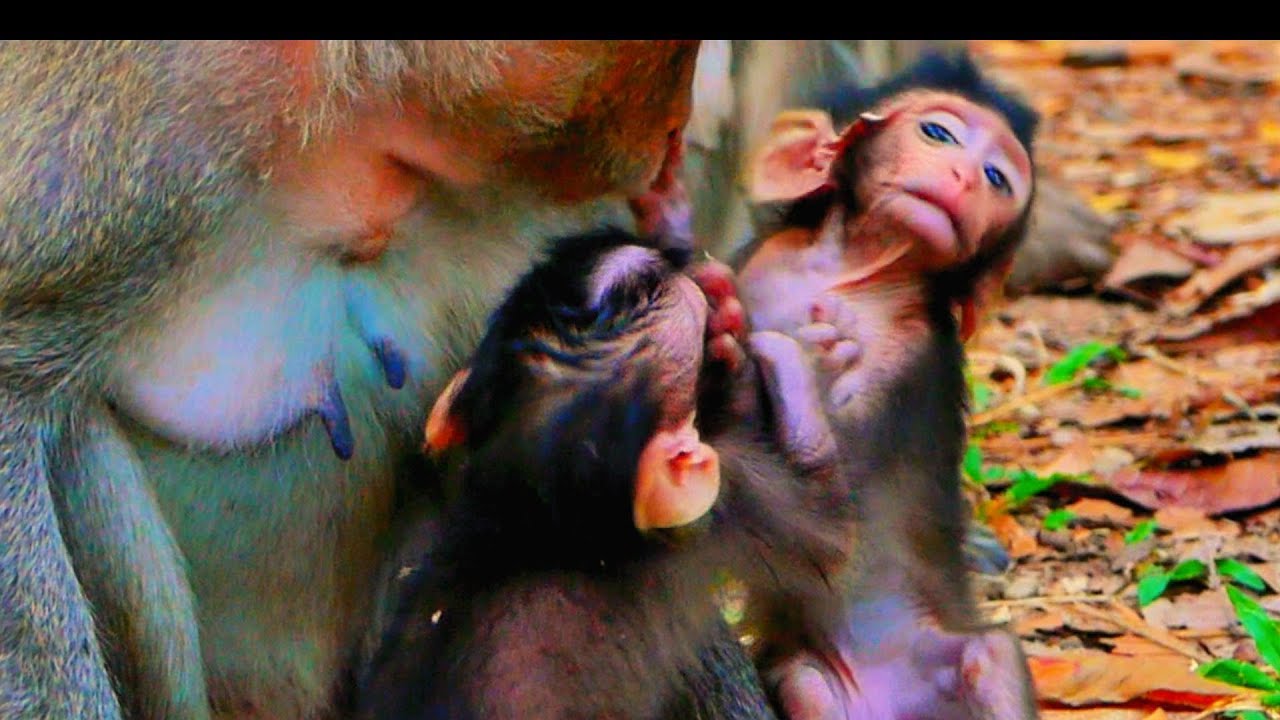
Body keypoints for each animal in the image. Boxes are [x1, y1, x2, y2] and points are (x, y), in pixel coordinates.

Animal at [727, 53, 1042, 719]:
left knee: (993, 655)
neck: (849, 274)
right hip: (817, 683)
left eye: (999, 178)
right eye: (939, 133)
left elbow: (829, 526)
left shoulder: (911, 352)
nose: (966, 177)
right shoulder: (764, 259)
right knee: (802, 678)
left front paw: (812, 366)